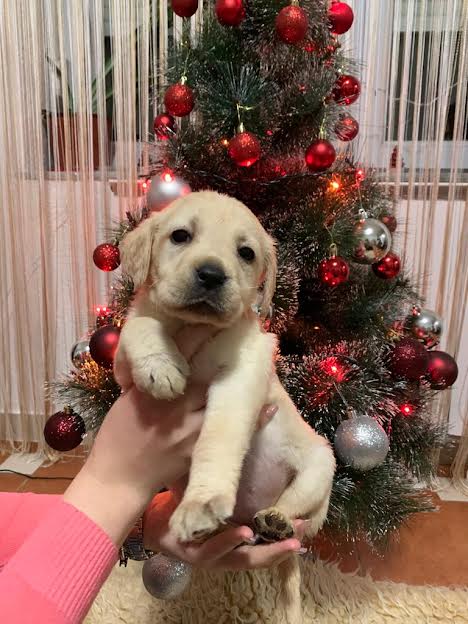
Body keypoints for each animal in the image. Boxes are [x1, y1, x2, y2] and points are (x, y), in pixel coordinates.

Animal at [116, 188, 336, 552]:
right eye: (180, 236)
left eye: (245, 253)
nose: (211, 274)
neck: (193, 325)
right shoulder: (123, 372)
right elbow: (139, 325)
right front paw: (160, 366)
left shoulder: (243, 370)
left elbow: (218, 437)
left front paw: (201, 503)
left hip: (321, 466)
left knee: (298, 512)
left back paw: (276, 522)